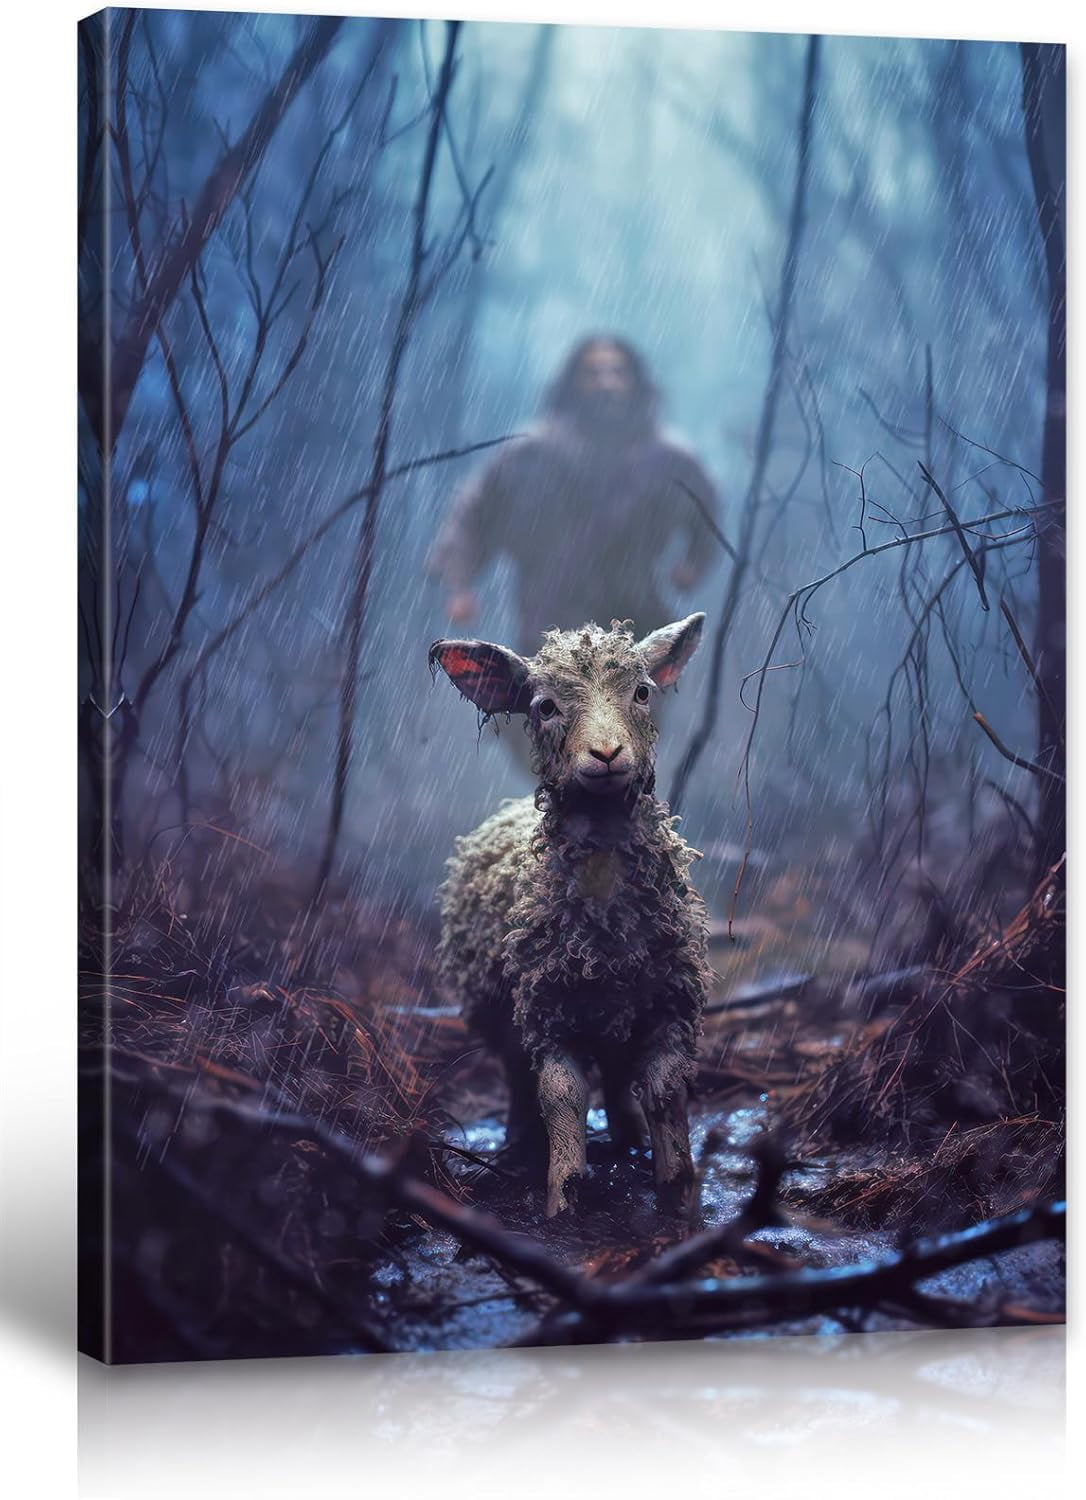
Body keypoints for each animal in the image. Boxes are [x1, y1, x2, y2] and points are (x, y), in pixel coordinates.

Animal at [429, 614, 712, 1217]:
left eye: (642, 692)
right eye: (544, 706)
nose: (605, 754)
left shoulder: (670, 1000)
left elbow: (665, 1087)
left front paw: (679, 1192)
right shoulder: (547, 1009)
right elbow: (561, 1093)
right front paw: (563, 1195)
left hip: (616, 1012)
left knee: (620, 1076)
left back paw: (628, 1138)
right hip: (500, 1012)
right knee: (518, 1077)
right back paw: (519, 1143)